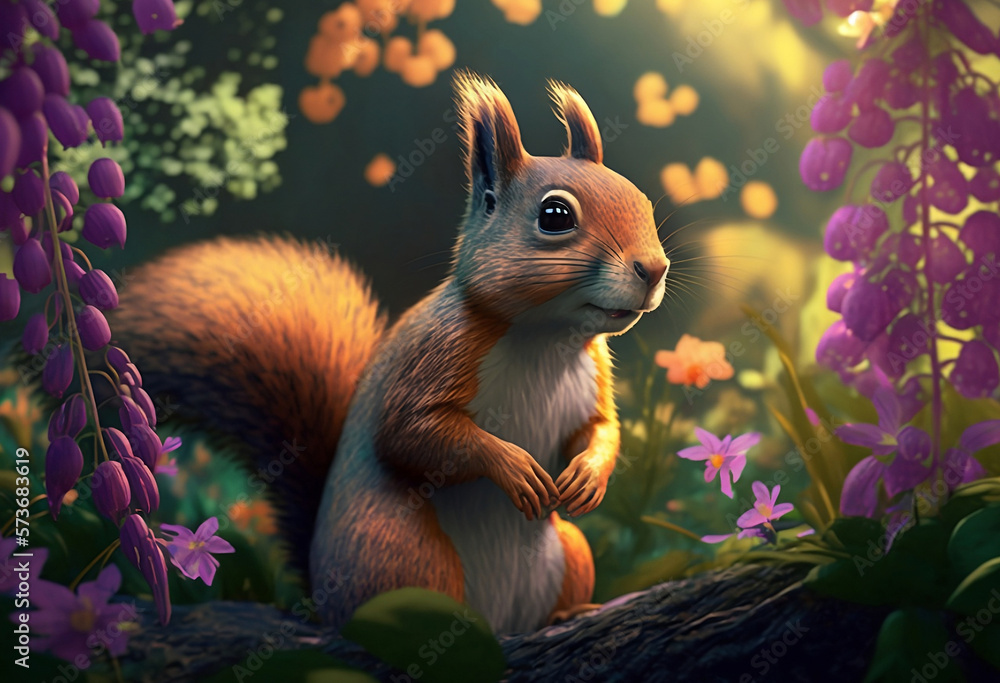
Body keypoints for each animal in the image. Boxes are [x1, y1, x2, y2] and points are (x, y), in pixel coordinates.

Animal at [110, 73, 669, 634]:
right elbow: (411, 432)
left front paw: (588, 474)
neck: (547, 338)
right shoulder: (438, 353)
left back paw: (568, 612)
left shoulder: (592, 377)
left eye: (643, 202)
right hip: (404, 554)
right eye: (555, 216)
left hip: (568, 552)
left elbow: (600, 429)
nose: (654, 268)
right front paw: (513, 466)